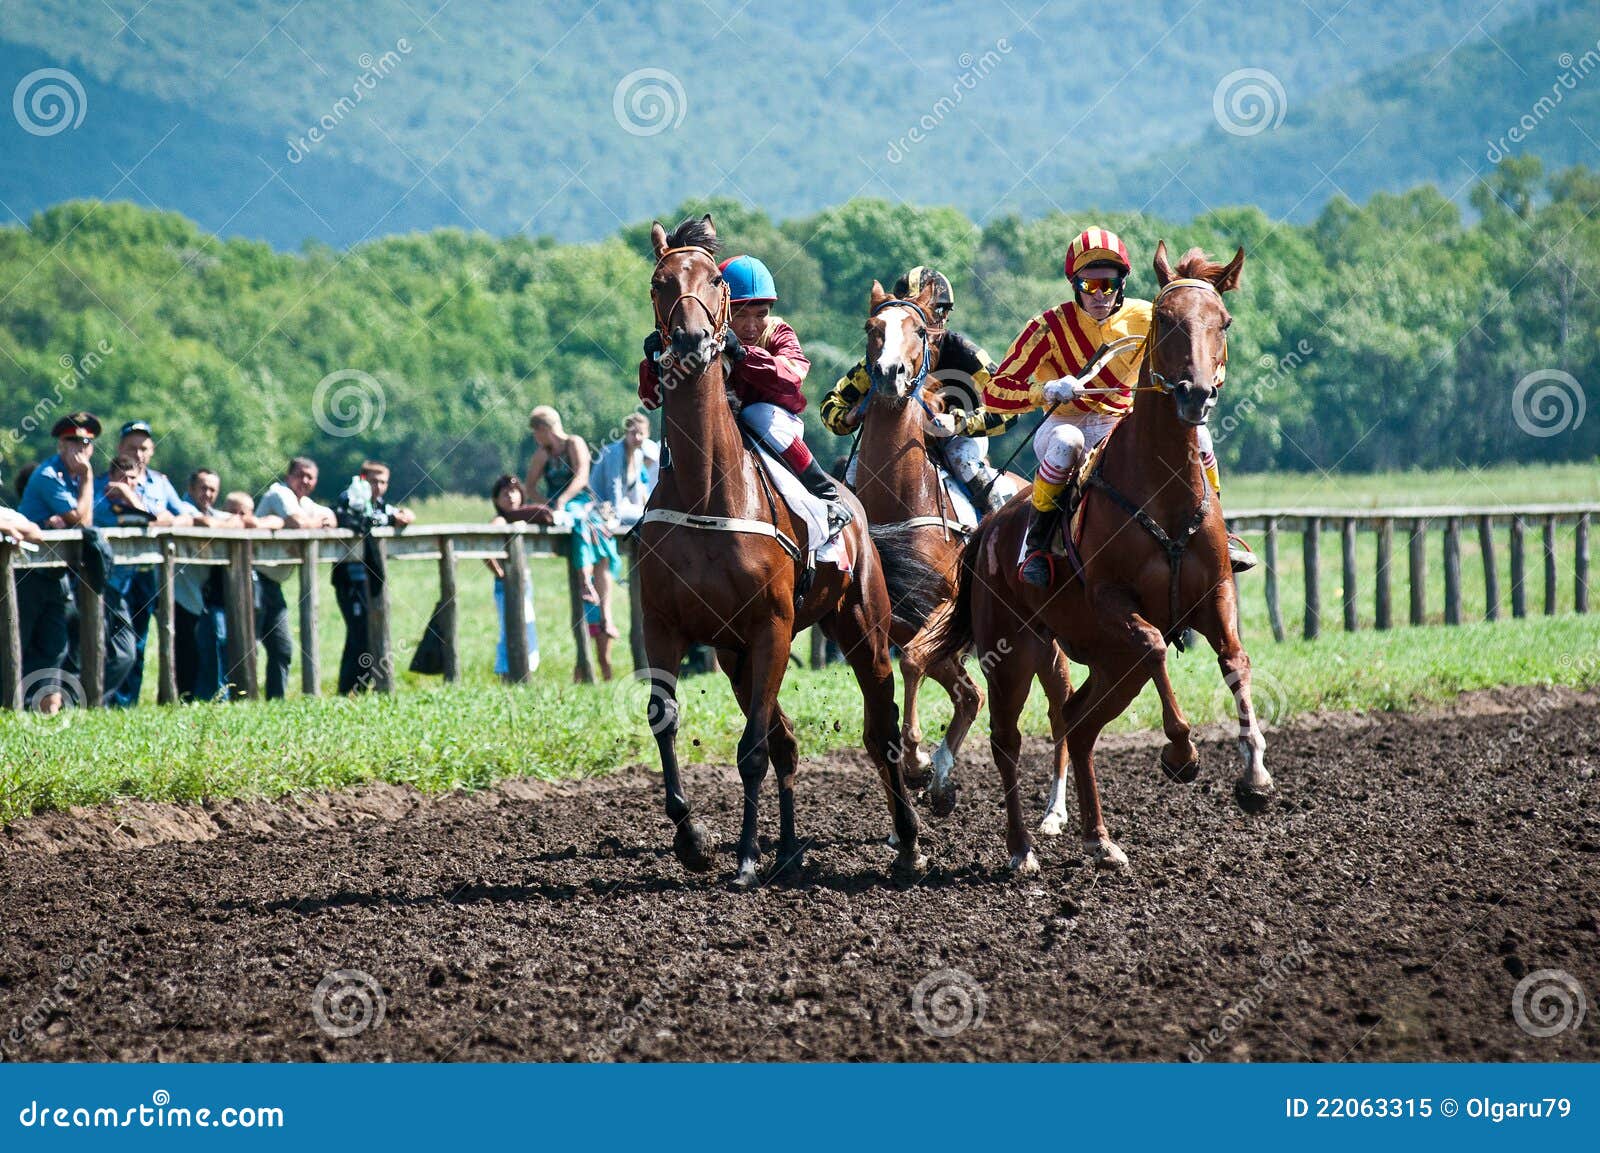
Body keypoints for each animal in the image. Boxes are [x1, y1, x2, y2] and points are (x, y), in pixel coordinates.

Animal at [635, 214, 929, 887]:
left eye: (714, 280)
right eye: (662, 281)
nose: (691, 340)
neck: (708, 489)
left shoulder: (771, 624)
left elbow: (750, 750)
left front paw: (744, 856)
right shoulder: (666, 624)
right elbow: (667, 719)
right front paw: (693, 839)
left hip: (861, 630)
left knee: (878, 728)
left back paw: (906, 841)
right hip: (734, 655)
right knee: (787, 741)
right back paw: (790, 849)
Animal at [851, 280, 1028, 816]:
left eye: (918, 329)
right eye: (873, 327)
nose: (888, 374)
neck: (898, 496)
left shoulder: (945, 604)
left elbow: (910, 662)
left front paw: (915, 757)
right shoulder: (895, 615)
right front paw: (921, 766)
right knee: (969, 694)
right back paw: (942, 781)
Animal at [912, 242, 1275, 873]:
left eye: (1223, 322)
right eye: (1165, 320)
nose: (1195, 394)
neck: (1163, 490)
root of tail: (987, 531)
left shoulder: (1216, 595)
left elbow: (1236, 660)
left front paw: (1254, 775)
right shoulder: (1114, 602)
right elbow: (1156, 644)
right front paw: (1181, 751)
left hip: (1107, 661)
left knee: (1078, 727)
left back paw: (1099, 840)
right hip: (1015, 650)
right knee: (1007, 739)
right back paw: (1021, 849)